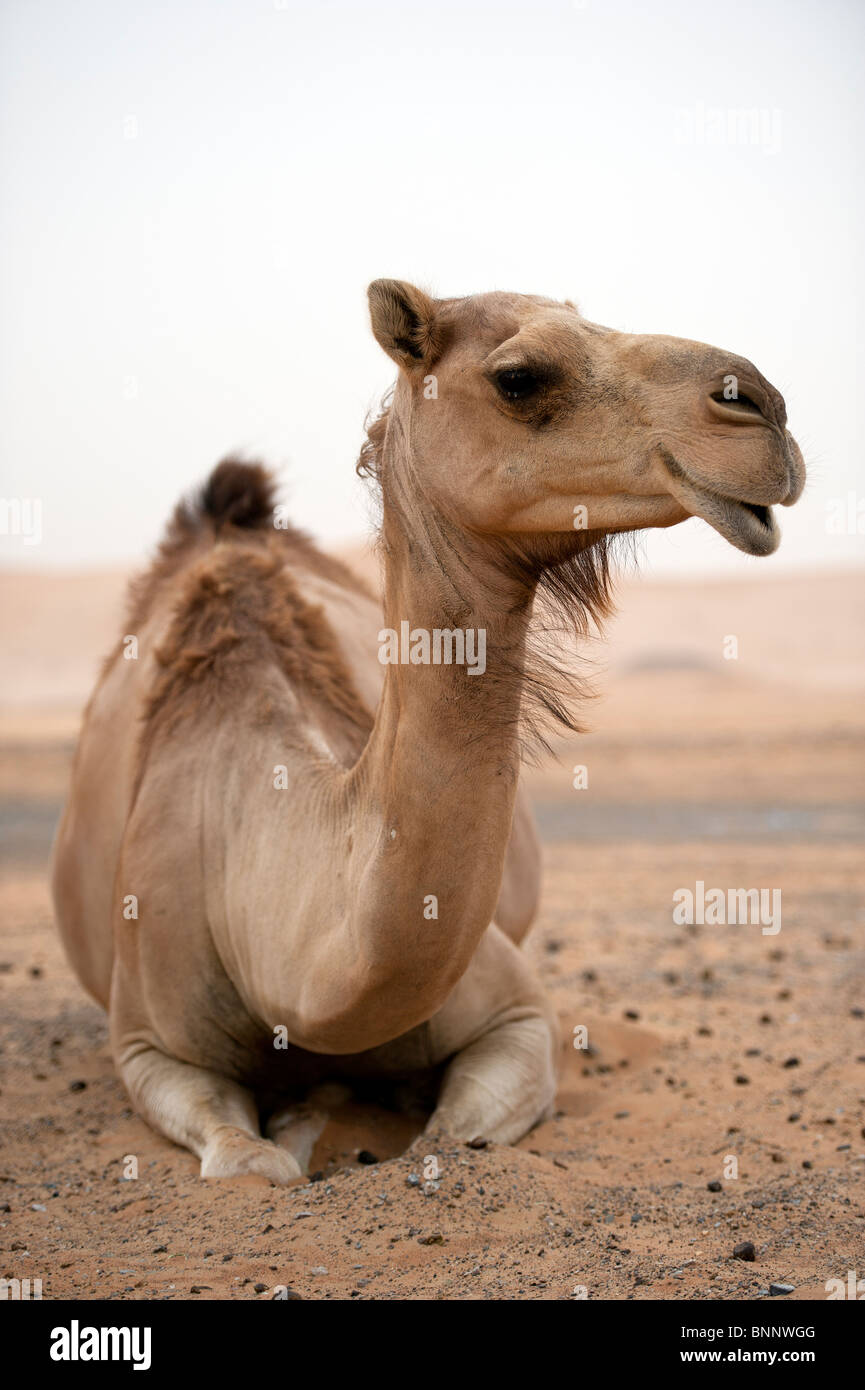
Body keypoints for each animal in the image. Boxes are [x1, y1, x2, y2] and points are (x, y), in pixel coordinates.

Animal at [51, 282, 805, 1182]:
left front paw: (327, 1109)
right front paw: (302, 1122)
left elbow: (451, 1136)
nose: (761, 406)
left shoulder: (518, 1015)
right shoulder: (147, 1045)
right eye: (519, 377)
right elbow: (250, 1163)